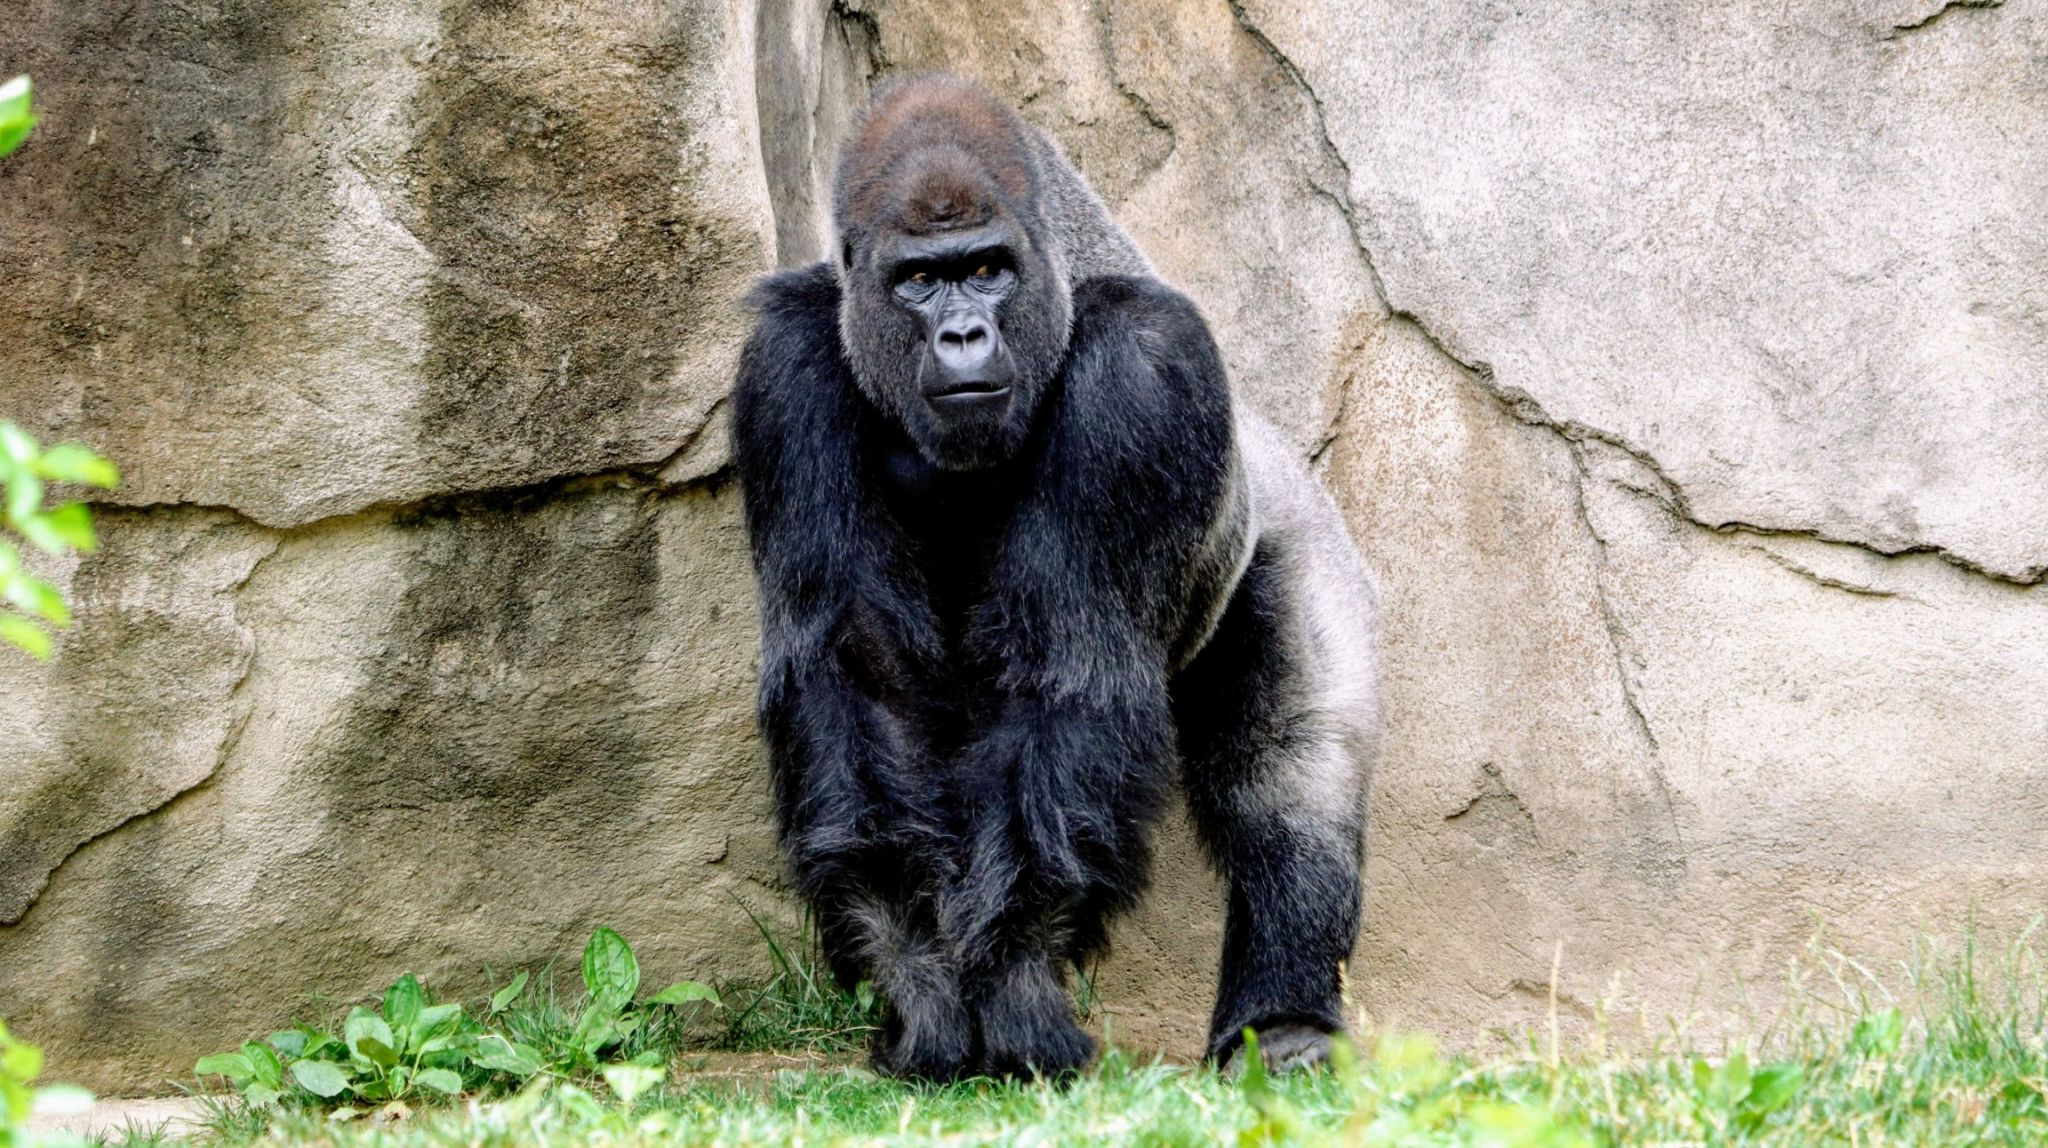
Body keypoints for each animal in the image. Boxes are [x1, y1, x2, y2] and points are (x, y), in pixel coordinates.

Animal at [730, 72, 1380, 1081]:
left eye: (988, 269)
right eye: (919, 281)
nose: (962, 334)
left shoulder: (1144, 373)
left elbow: (1071, 678)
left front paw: (1016, 986)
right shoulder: (785, 368)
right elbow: (857, 677)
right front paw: (920, 981)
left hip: (1296, 533)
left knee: (1291, 772)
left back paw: (1285, 1021)